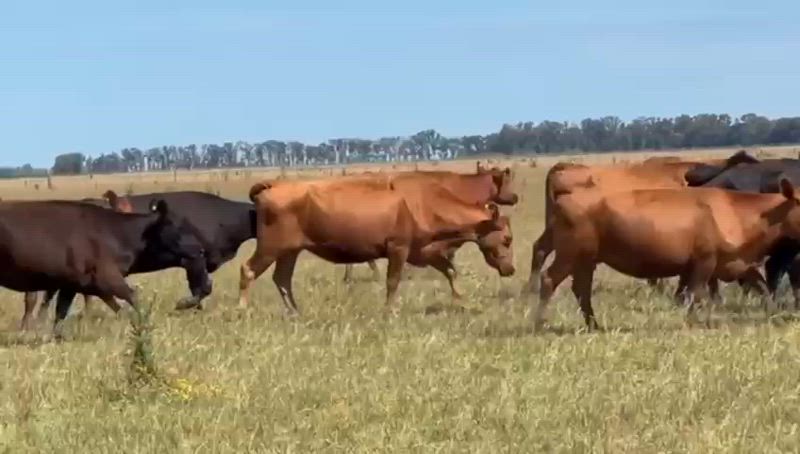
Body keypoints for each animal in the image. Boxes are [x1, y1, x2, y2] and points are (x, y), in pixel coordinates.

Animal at [0, 199, 207, 337]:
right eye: (177, 227)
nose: (200, 249)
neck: (115, 235)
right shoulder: (106, 277)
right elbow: (133, 297)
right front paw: (143, 325)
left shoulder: (72, 284)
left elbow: (61, 312)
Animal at [239, 176, 515, 314]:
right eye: (507, 239)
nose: (510, 269)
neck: (423, 201)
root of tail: (274, 185)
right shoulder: (398, 249)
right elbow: (392, 281)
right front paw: (389, 311)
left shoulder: (421, 252)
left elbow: (450, 270)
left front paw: (461, 301)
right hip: (271, 247)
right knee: (248, 270)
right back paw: (243, 309)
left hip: (290, 251)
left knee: (282, 279)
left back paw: (296, 313)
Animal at [529, 179, 800, 333]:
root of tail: (564, 197)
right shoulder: (704, 261)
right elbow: (695, 294)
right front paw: (693, 322)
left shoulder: (734, 263)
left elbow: (762, 287)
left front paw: (774, 314)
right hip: (569, 254)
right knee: (549, 279)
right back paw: (539, 324)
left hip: (586, 260)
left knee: (581, 290)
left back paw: (593, 325)